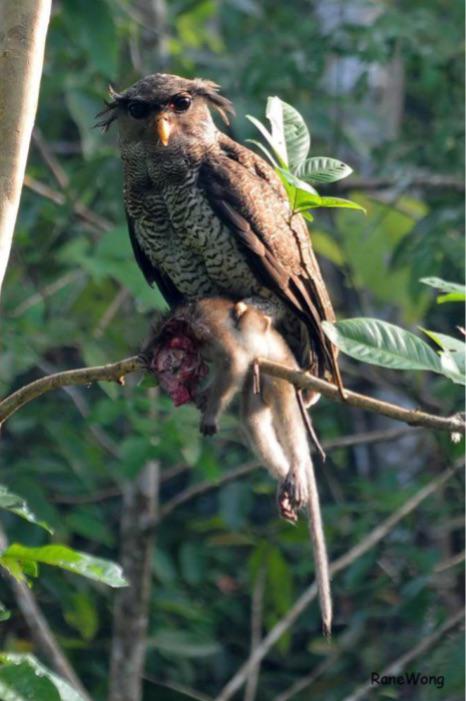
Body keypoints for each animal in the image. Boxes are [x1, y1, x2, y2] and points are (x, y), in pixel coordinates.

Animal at [146, 297, 332, 635]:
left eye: (170, 364)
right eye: (163, 369)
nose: (169, 384)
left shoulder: (207, 329)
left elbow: (233, 361)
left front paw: (210, 412)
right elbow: (232, 371)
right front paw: (205, 397)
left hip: (282, 373)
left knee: (285, 413)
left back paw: (298, 467)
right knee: (252, 418)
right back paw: (285, 480)